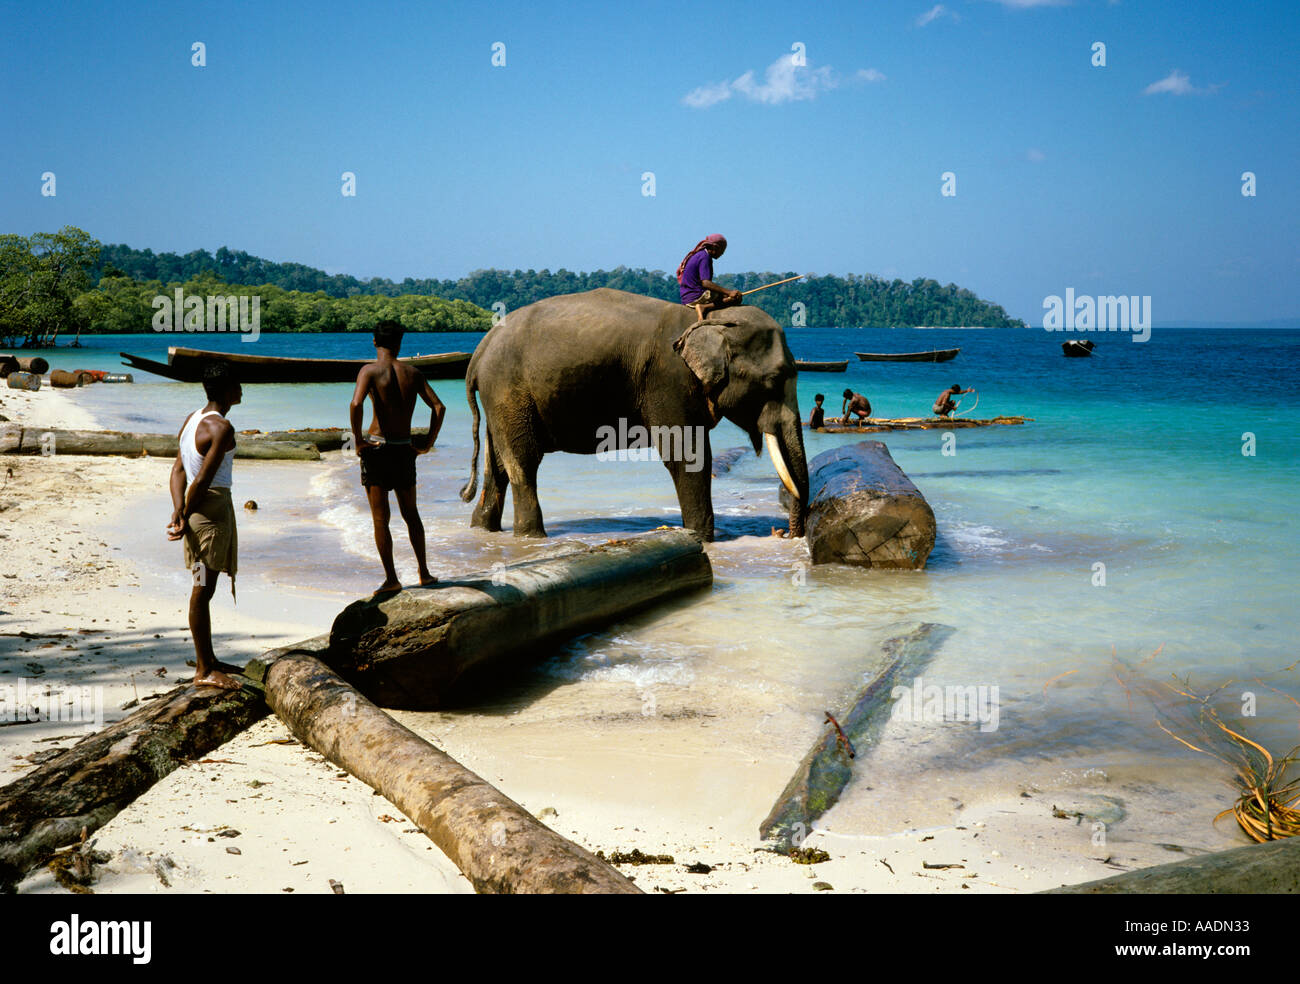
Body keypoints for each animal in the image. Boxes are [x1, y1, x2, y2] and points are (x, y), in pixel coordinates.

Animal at [458, 288, 810, 541]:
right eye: (775, 380)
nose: (783, 534)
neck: (711, 319)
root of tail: (479, 351)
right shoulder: (668, 380)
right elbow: (687, 456)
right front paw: (701, 538)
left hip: (502, 398)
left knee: (499, 463)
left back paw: (483, 528)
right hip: (508, 390)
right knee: (524, 461)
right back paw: (531, 536)